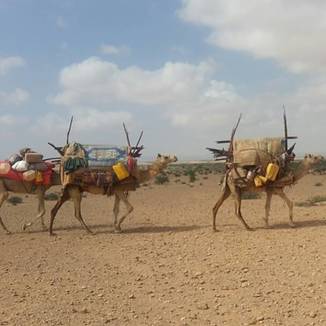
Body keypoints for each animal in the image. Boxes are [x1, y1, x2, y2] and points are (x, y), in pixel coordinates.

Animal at [48, 154, 177, 236]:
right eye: (166, 156)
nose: (175, 157)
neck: (138, 174)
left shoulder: (116, 192)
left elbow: (116, 209)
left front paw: (116, 227)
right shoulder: (120, 190)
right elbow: (130, 207)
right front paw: (118, 228)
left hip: (71, 191)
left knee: (56, 209)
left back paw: (51, 232)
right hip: (75, 192)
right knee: (76, 213)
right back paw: (90, 231)